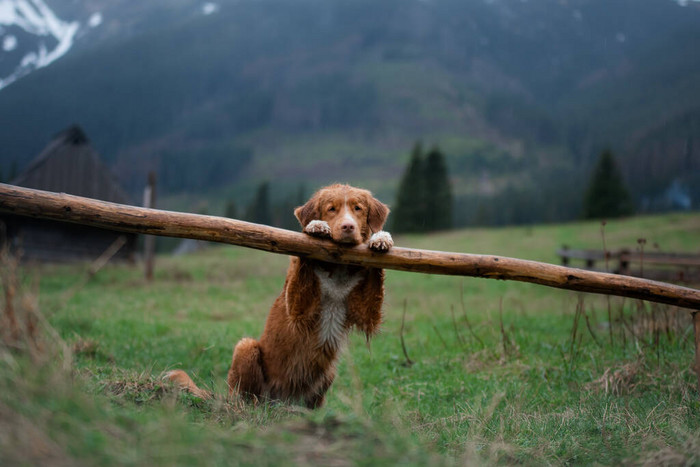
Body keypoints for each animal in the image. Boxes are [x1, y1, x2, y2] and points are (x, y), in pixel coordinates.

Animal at [166, 185, 392, 408]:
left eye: (358, 208)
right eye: (331, 209)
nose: (348, 227)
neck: (337, 268)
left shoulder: (366, 314)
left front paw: (381, 238)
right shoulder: (299, 309)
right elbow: (303, 258)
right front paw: (315, 227)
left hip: (328, 373)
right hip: (246, 348)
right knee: (246, 397)